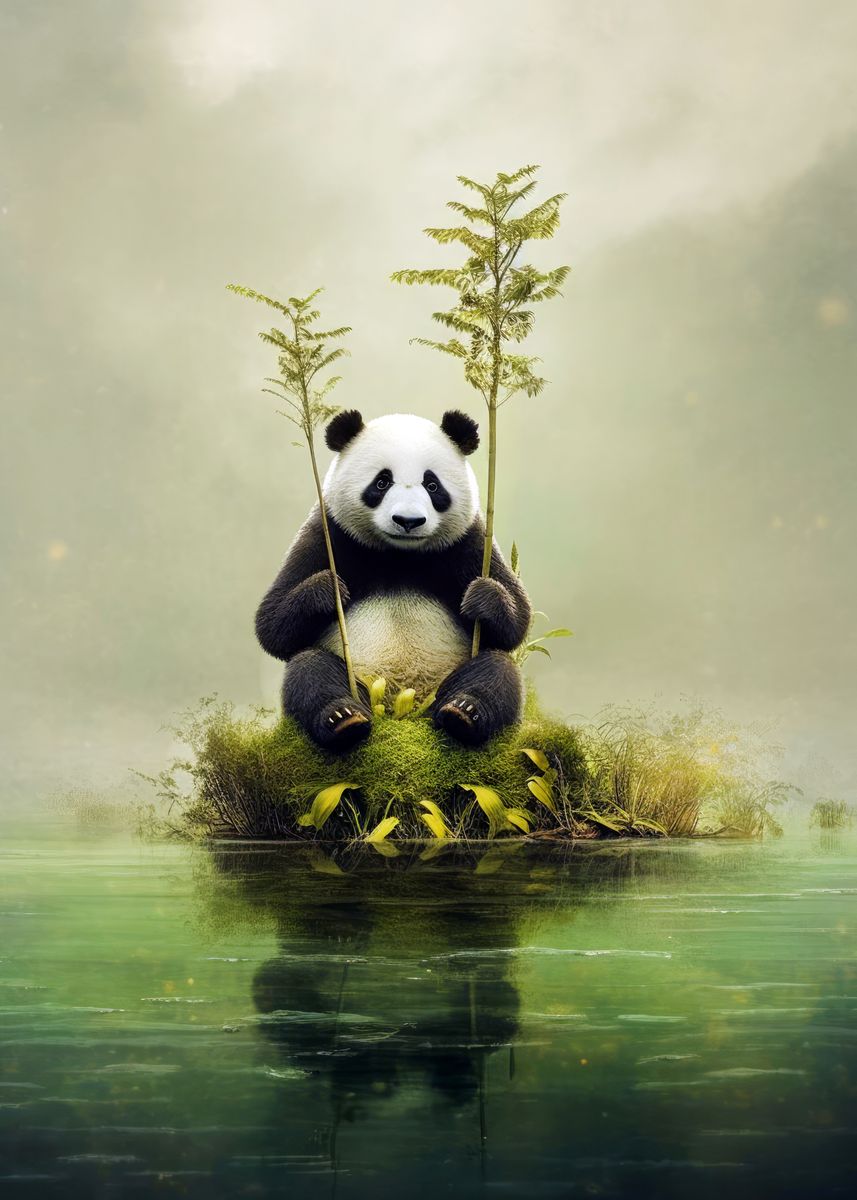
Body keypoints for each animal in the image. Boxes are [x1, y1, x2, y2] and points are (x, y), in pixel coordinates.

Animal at [255, 408, 532, 751]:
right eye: (382, 482)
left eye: (432, 485)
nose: (408, 521)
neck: (399, 556)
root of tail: (400, 712)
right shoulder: (328, 533)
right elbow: (273, 625)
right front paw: (329, 590)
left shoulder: (469, 541)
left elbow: (515, 623)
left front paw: (483, 597)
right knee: (309, 669)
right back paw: (344, 718)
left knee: (498, 670)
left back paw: (464, 712)